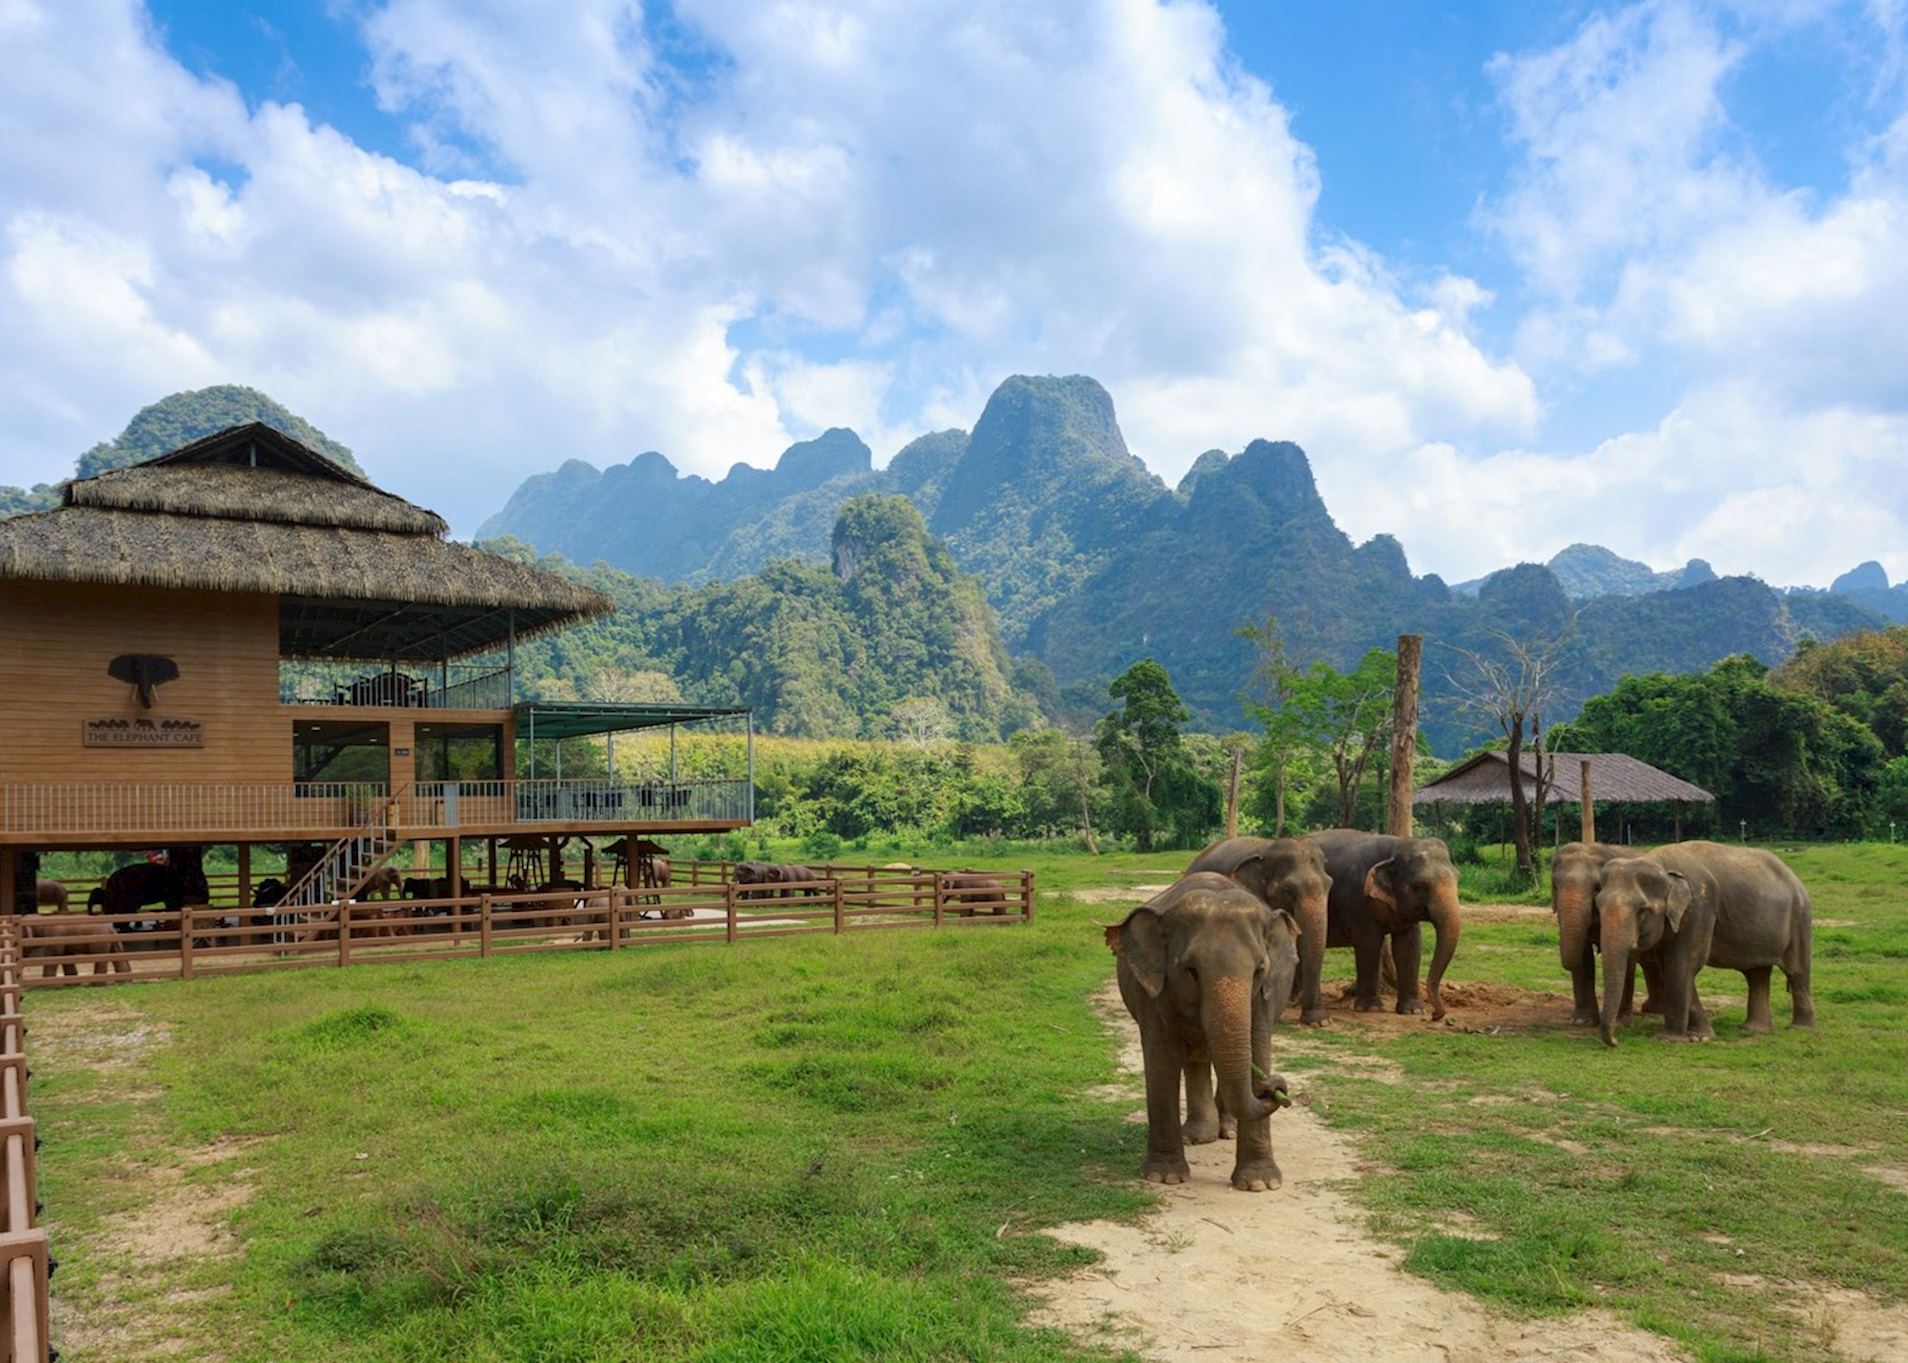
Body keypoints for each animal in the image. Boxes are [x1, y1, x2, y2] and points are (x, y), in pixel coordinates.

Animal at [1106, 872, 1301, 1192]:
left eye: (1259, 970)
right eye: (1190, 970)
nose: (1277, 1091)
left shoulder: (1264, 997)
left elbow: (1257, 1048)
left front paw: (1260, 1184)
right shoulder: (1153, 995)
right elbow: (1161, 1063)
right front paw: (1165, 1177)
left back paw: (1227, 1131)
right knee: (1196, 1060)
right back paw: (1197, 1137)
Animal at [1306, 830, 1461, 1020]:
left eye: (1458, 877)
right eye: (1421, 885)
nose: (1435, 1015)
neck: (1395, 847)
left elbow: (1409, 945)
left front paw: (1413, 1010)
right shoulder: (1358, 899)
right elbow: (1369, 944)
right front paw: (1370, 1008)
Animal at [1553, 841, 1663, 1026]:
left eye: (1597, 888)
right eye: (1555, 886)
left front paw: (1620, 1022)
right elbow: (1584, 956)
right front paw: (1582, 1021)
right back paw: (1653, 1009)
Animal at [1592, 854, 1717, 1046]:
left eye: (1643, 911)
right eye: (1598, 906)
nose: (1616, 1040)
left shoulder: (1697, 912)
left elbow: (1682, 965)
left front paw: (1669, 1039)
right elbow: (1669, 967)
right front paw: (1699, 1036)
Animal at [1657, 841, 1814, 1034]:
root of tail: (1795, 877)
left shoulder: (1699, 906)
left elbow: (1687, 961)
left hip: (1799, 917)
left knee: (1796, 971)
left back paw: (1799, 1028)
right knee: (1757, 974)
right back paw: (1754, 1029)